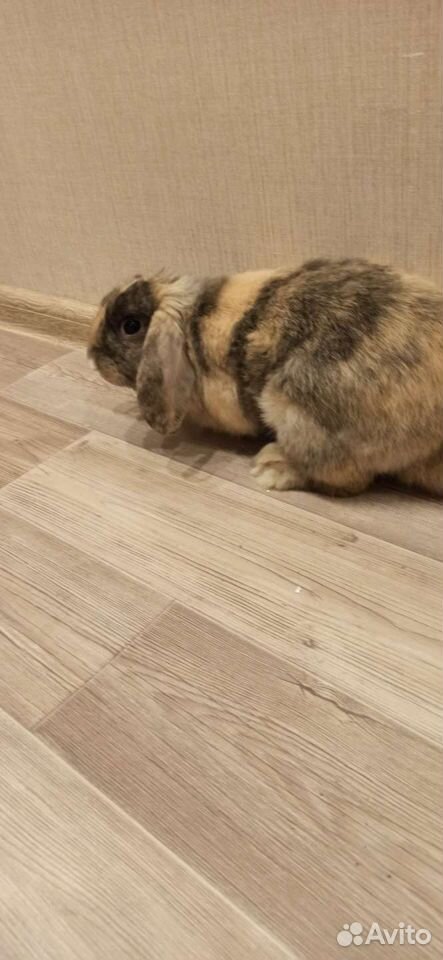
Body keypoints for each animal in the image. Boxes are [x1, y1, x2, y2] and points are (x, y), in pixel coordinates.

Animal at [88, 258, 443, 496]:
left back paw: (271, 467)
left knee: (346, 479)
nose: (92, 356)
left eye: (131, 326)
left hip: (291, 409)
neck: (193, 321)